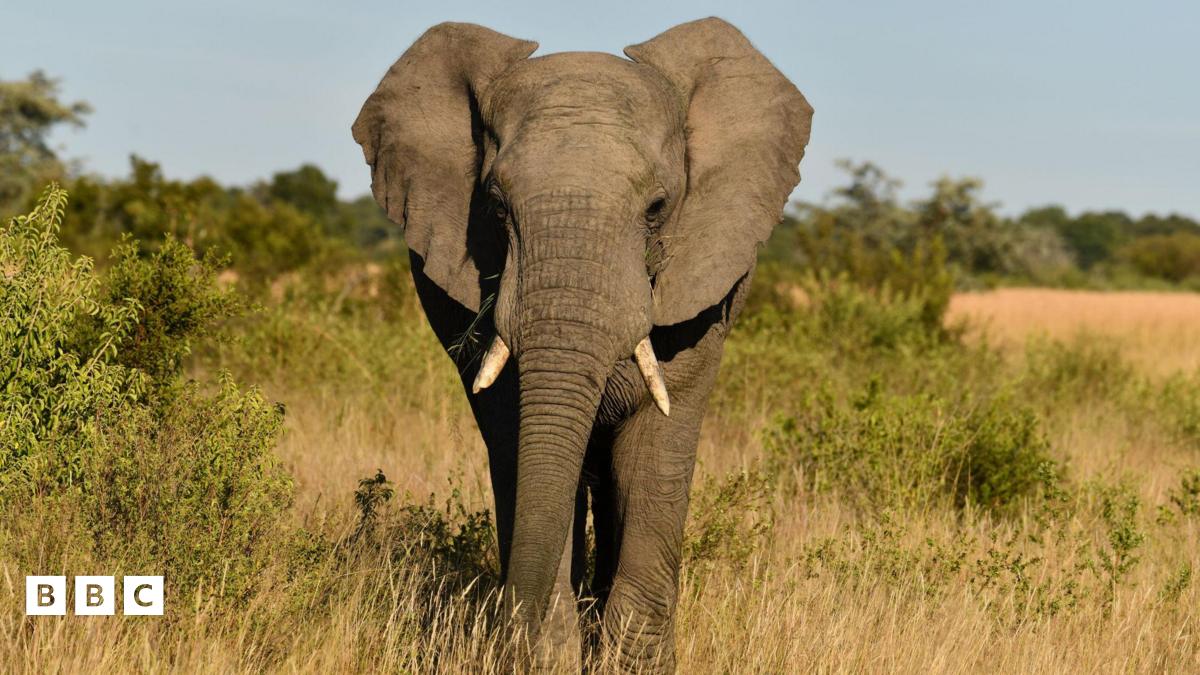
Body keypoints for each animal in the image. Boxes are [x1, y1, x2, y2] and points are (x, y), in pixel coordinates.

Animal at [352, 17, 812, 671]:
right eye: (495, 206)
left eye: (657, 208)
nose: (507, 638)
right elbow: (518, 444)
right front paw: (552, 648)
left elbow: (655, 449)